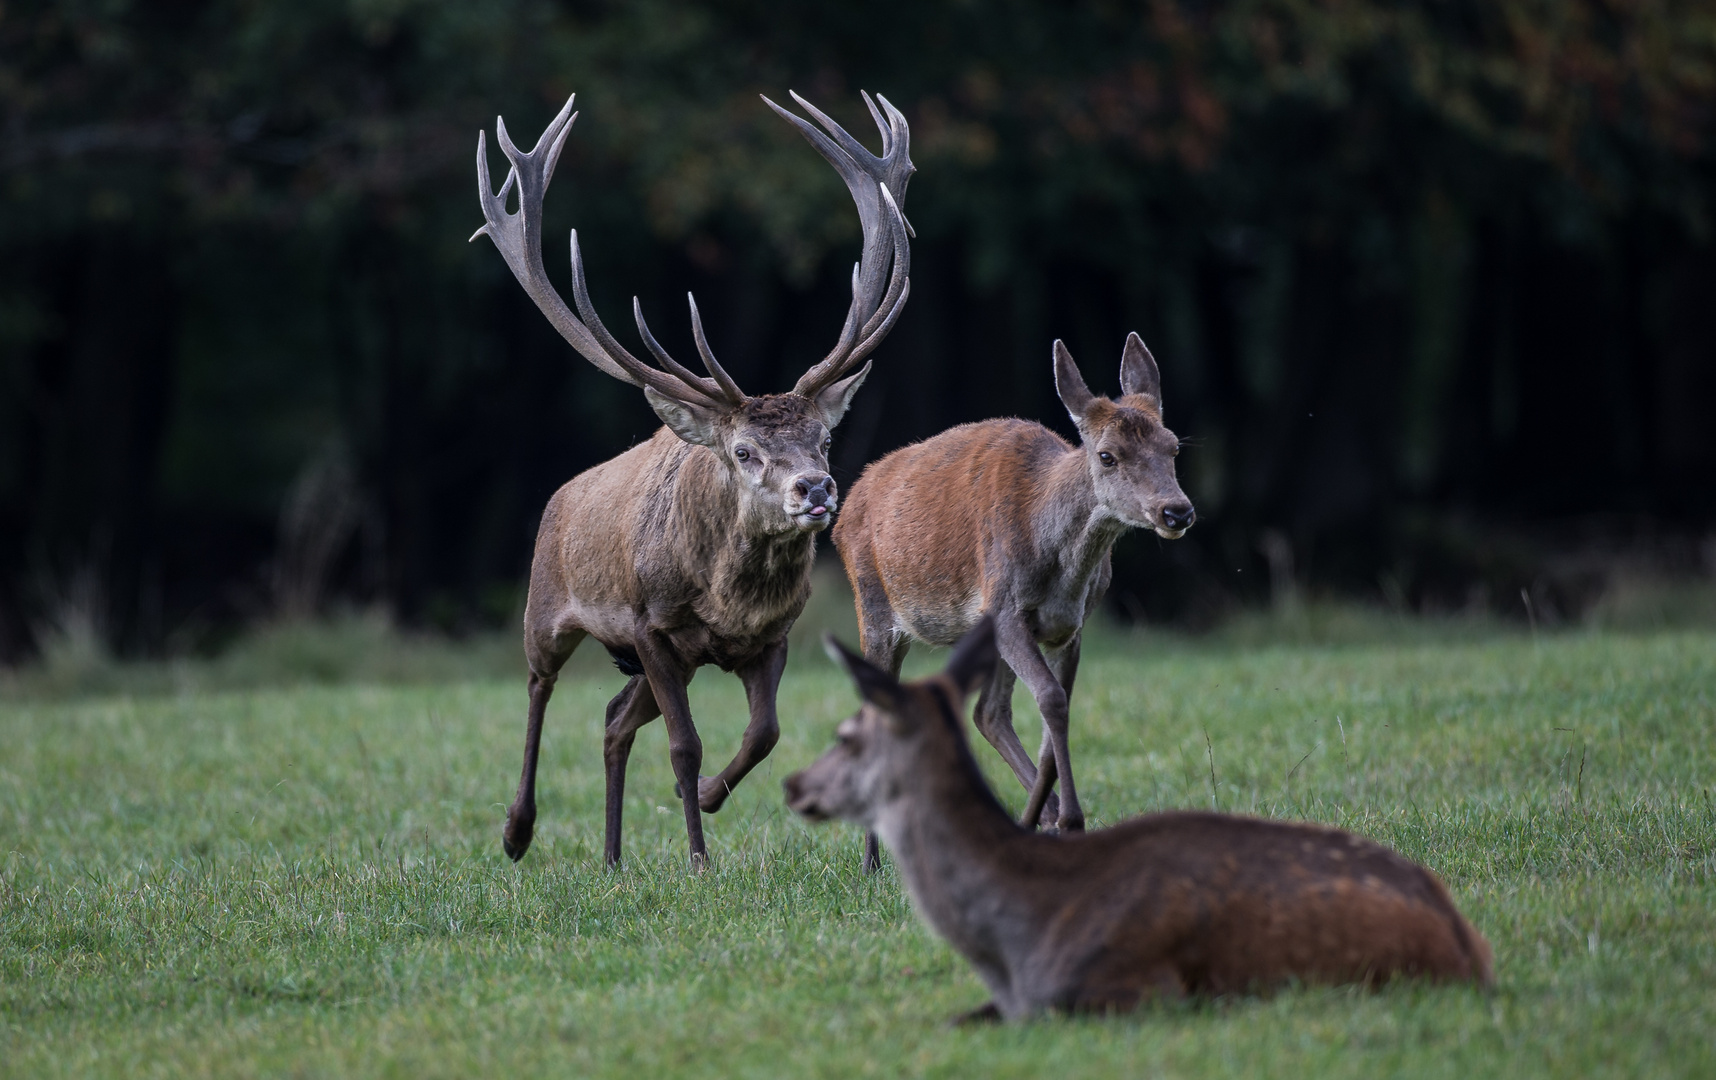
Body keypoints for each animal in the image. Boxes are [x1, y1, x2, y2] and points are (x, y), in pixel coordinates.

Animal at [473, 92, 912, 868]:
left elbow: (763, 735)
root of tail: (560, 498)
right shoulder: (650, 628)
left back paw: (613, 859)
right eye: (742, 450)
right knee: (539, 687)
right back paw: (517, 831)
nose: (816, 489)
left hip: (640, 667)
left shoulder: (771, 637)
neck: (725, 602)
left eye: (824, 438)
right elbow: (684, 746)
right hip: (545, 608)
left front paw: (709, 797)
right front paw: (700, 859)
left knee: (614, 719)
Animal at [830, 333, 1194, 861]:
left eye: (1173, 446)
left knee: (988, 713)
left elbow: (1054, 709)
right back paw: (873, 861)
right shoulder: (1003, 607)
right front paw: (1071, 820)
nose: (1177, 511)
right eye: (1108, 455)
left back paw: (1025, 823)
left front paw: (1054, 822)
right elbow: (1052, 700)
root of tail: (842, 509)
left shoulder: (1069, 626)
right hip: (874, 607)